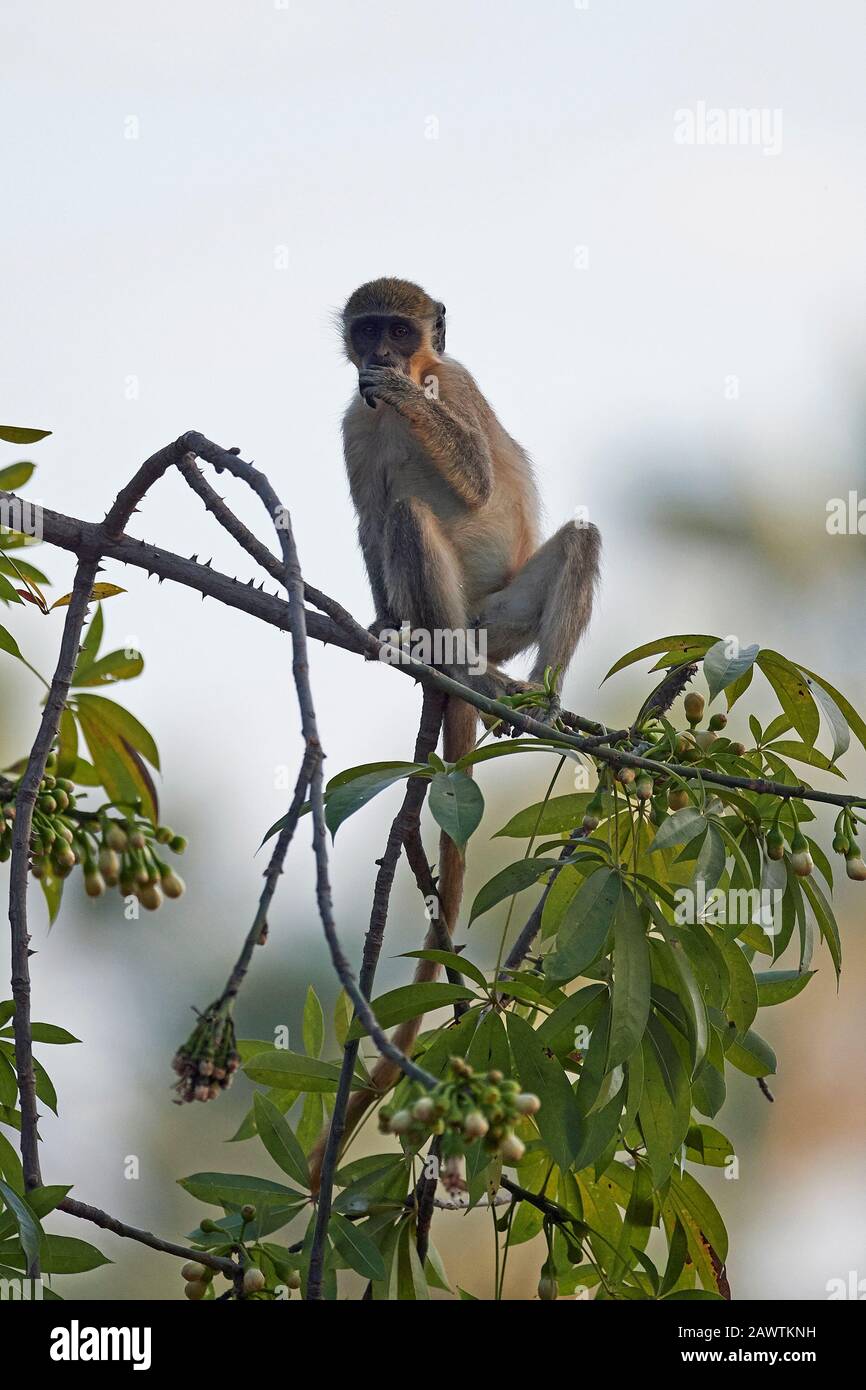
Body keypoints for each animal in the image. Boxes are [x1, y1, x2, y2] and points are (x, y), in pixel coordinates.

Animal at [308, 278, 600, 1190]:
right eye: (370, 329)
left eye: (403, 334)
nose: (382, 357)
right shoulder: (350, 421)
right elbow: (371, 514)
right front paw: (376, 620)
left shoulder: (454, 383)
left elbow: (472, 478)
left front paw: (410, 400)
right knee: (398, 518)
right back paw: (423, 648)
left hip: (501, 618)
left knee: (566, 536)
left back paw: (528, 687)